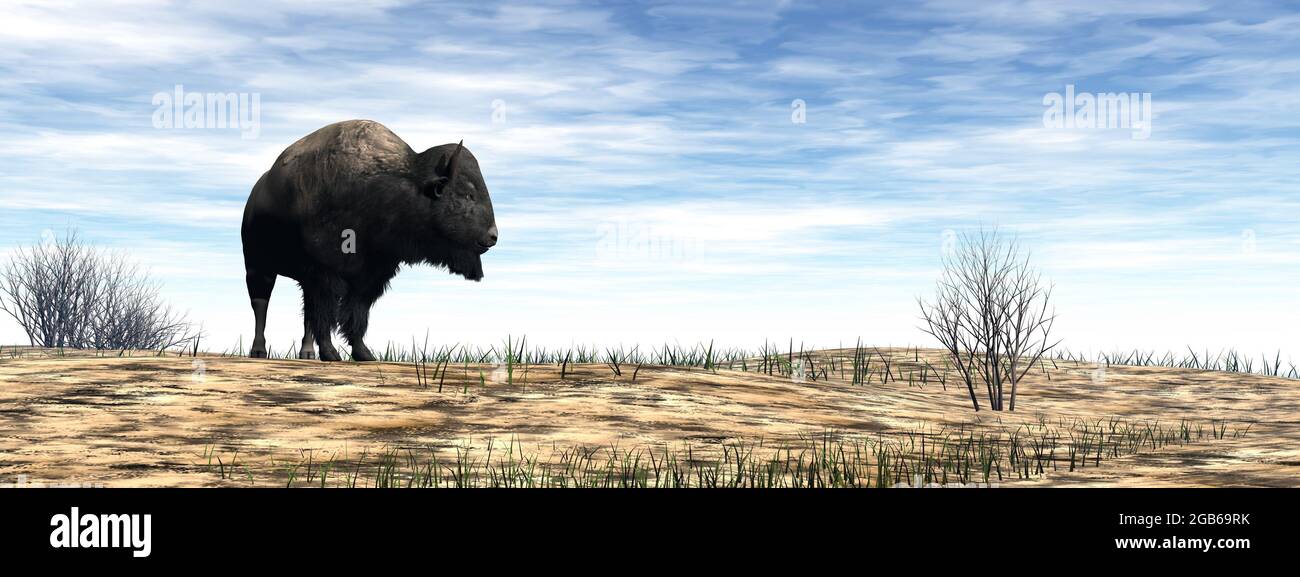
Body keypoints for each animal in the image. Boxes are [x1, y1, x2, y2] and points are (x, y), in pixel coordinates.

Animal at [241, 120, 497, 361]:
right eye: (468, 194)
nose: (493, 236)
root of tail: (255, 193)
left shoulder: (368, 276)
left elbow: (355, 315)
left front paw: (363, 353)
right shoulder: (323, 273)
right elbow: (326, 313)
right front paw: (331, 354)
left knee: (305, 316)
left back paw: (307, 353)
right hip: (258, 267)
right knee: (261, 305)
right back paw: (259, 351)